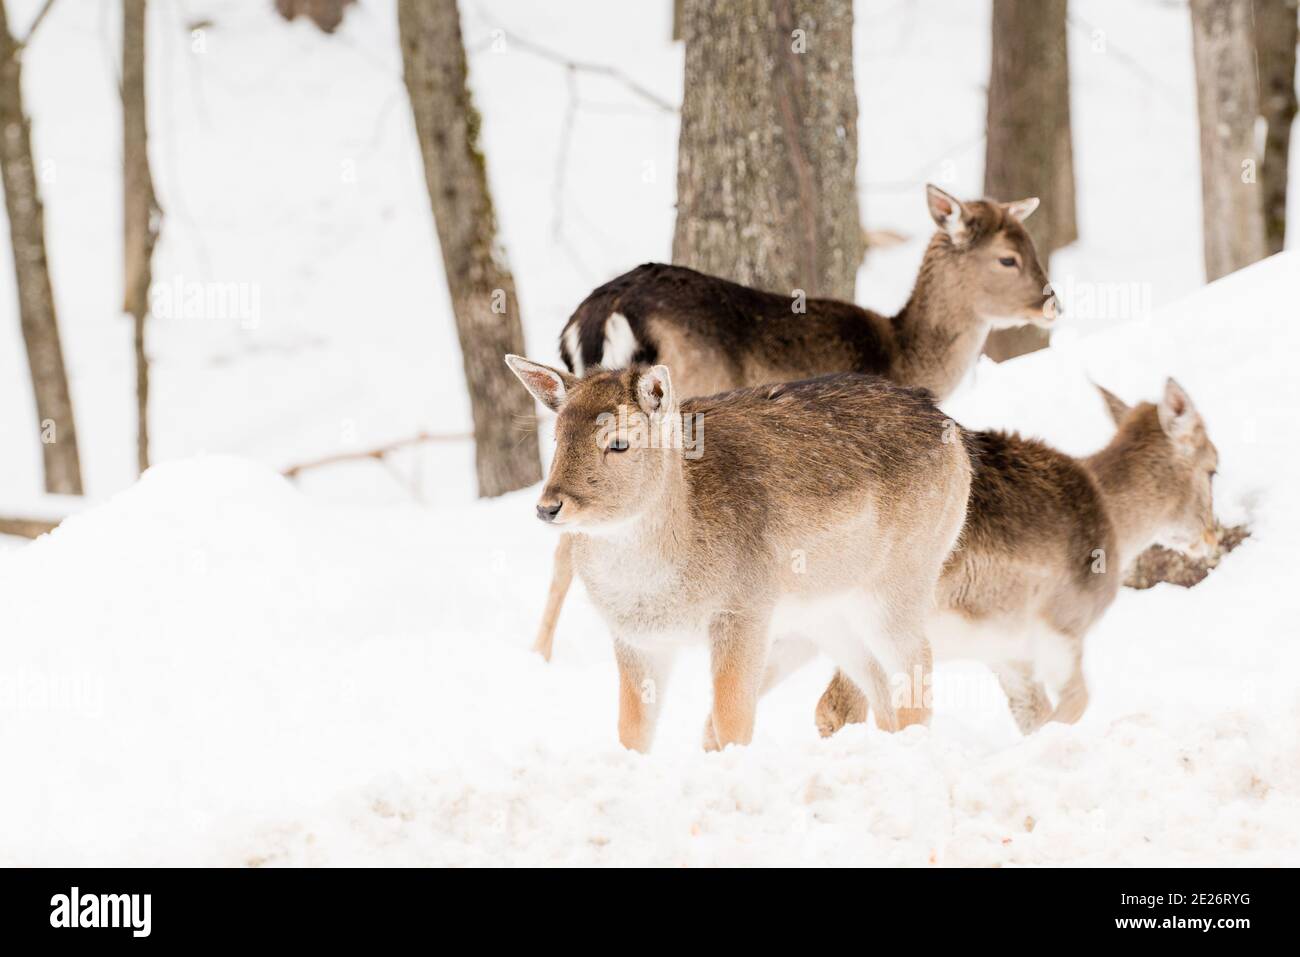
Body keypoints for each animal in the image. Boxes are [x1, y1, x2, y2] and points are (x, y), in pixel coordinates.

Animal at [505, 357, 972, 752]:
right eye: (557, 437)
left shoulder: (744, 608)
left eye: (618, 443)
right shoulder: (633, 636)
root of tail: (956, 434)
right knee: (879, 685)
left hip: (901, 578)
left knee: (917, 668)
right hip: (828, 613)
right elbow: (631, 731)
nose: (547, 506)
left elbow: (732, 720)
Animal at [533, 184, 1060, 661]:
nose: (1053, 303)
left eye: (1032, 245)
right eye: (1008, 258)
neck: (905, 355)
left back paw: (543, 652)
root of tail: (597, 315)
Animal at [813, 379, 1220, 738]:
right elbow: (1073, 705)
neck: (1115, 522)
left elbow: (1034, 718)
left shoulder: (1009, 656)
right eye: (1214, 468)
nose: (1212, 538)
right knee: (839, 706)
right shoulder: (1063, 628)